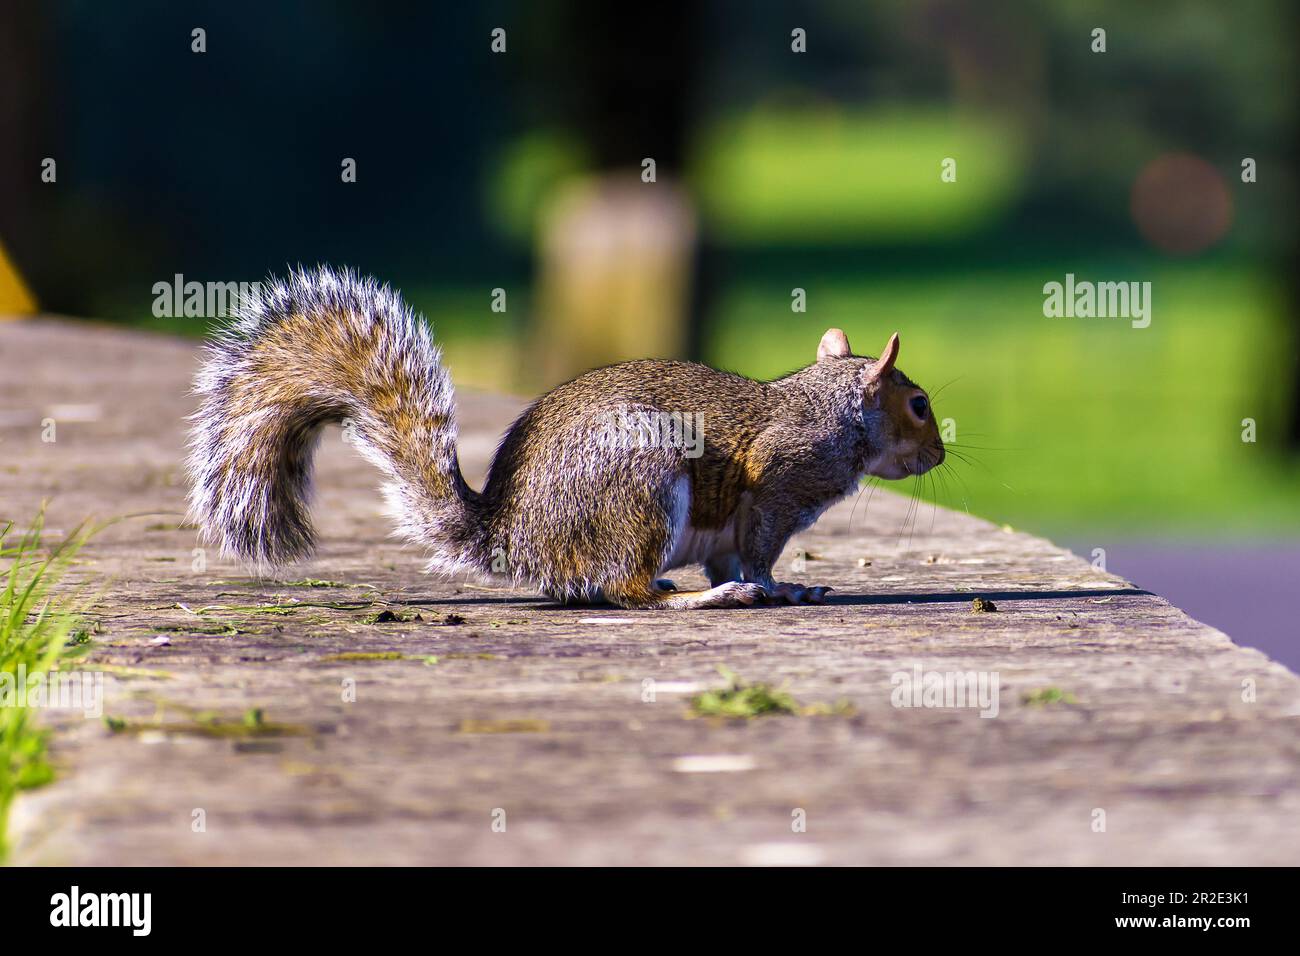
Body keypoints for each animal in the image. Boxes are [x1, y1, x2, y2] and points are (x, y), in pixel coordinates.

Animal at [188, 266, 944, 609]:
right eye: (919, 404)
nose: (939, 454)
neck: (833, 412)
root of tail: (513, 535)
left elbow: (729, 555)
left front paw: (784, 586)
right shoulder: (777, 486)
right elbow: (755, 555)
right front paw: (774, 587)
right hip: (642, 482)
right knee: (627, 591)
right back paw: (699, 599)